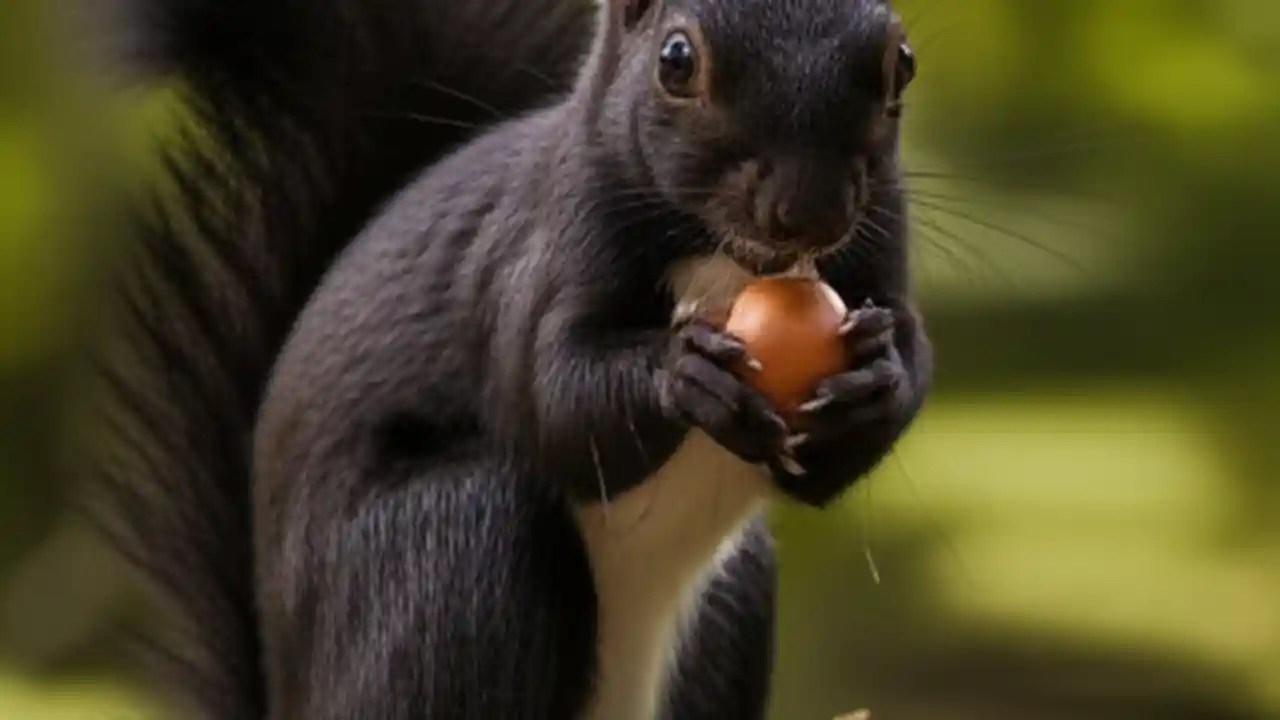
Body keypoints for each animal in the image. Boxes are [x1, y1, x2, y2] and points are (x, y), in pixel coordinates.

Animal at [95, 0, 932, 718]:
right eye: (677, 60)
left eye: (903, 62)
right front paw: (684, 374)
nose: (808, 210)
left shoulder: (883, 246)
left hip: (731, 601)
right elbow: (554, 403)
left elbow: (872, 410)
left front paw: (877, 380)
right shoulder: (536, 252)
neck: (726, 263)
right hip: (451, 558)